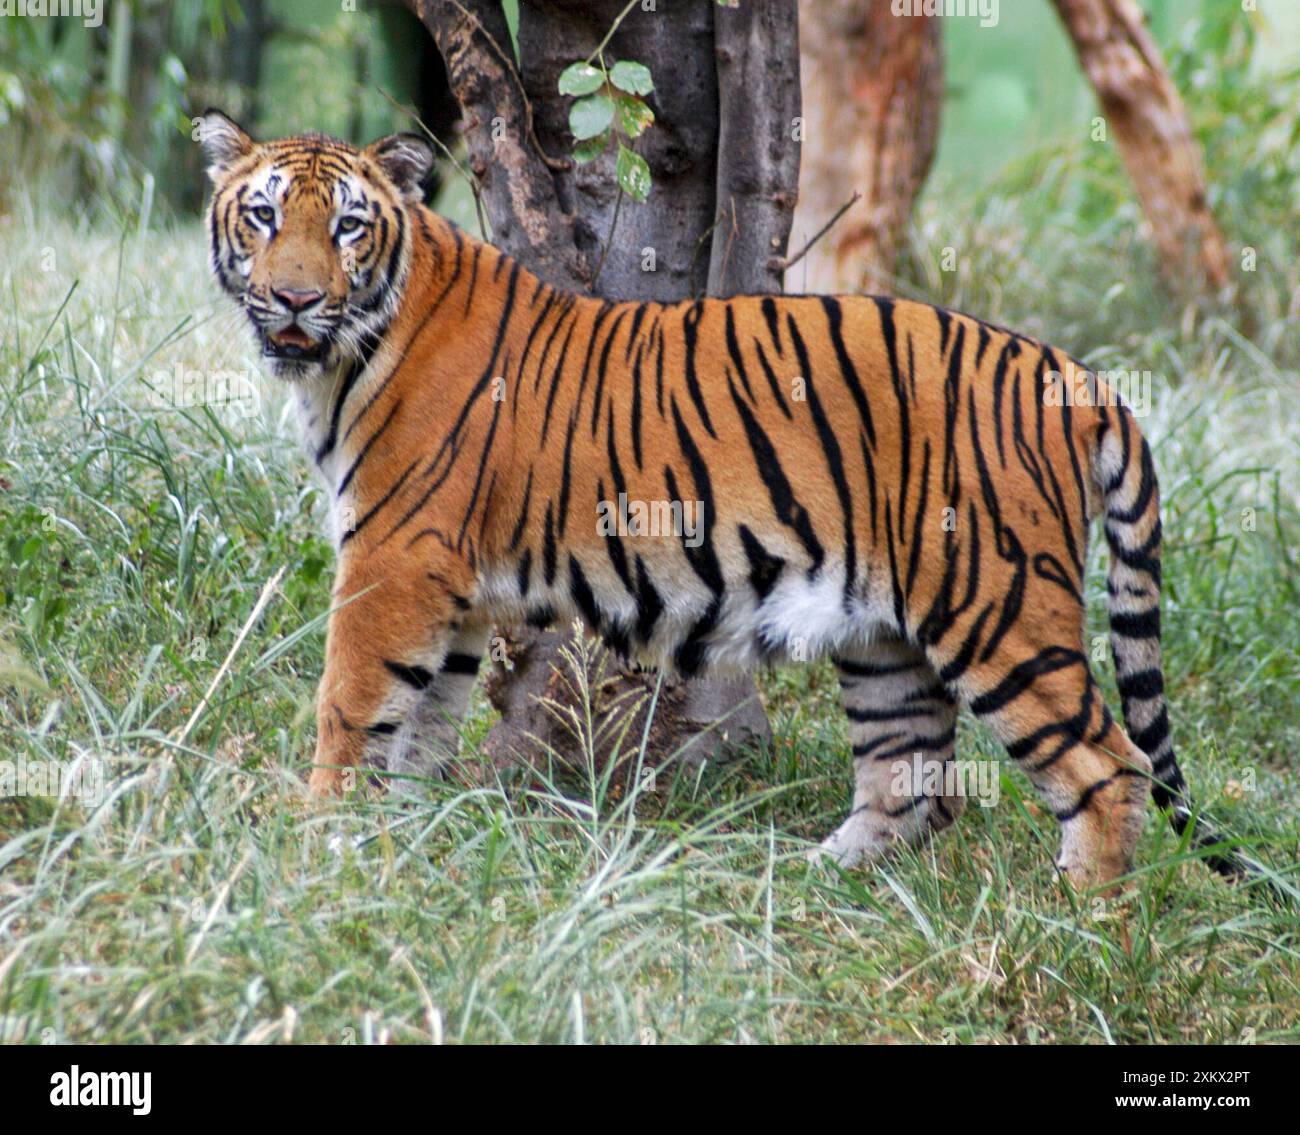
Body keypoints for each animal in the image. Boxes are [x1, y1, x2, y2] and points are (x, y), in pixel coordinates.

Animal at [199, 109, 1255, 892]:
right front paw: (401, 841)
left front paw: (317, 836)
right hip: (884, 636)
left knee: (1106, 769)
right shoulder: (451, 588)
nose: (294, 300)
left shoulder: (394, 558)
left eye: (346, 225)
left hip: (996, 607)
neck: (343, 356)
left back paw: (1079, 923)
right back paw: (816, 883)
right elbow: (420, 721)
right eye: (262, 217)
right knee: (914, 780)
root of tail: (1072, 372)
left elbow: (350, 701)